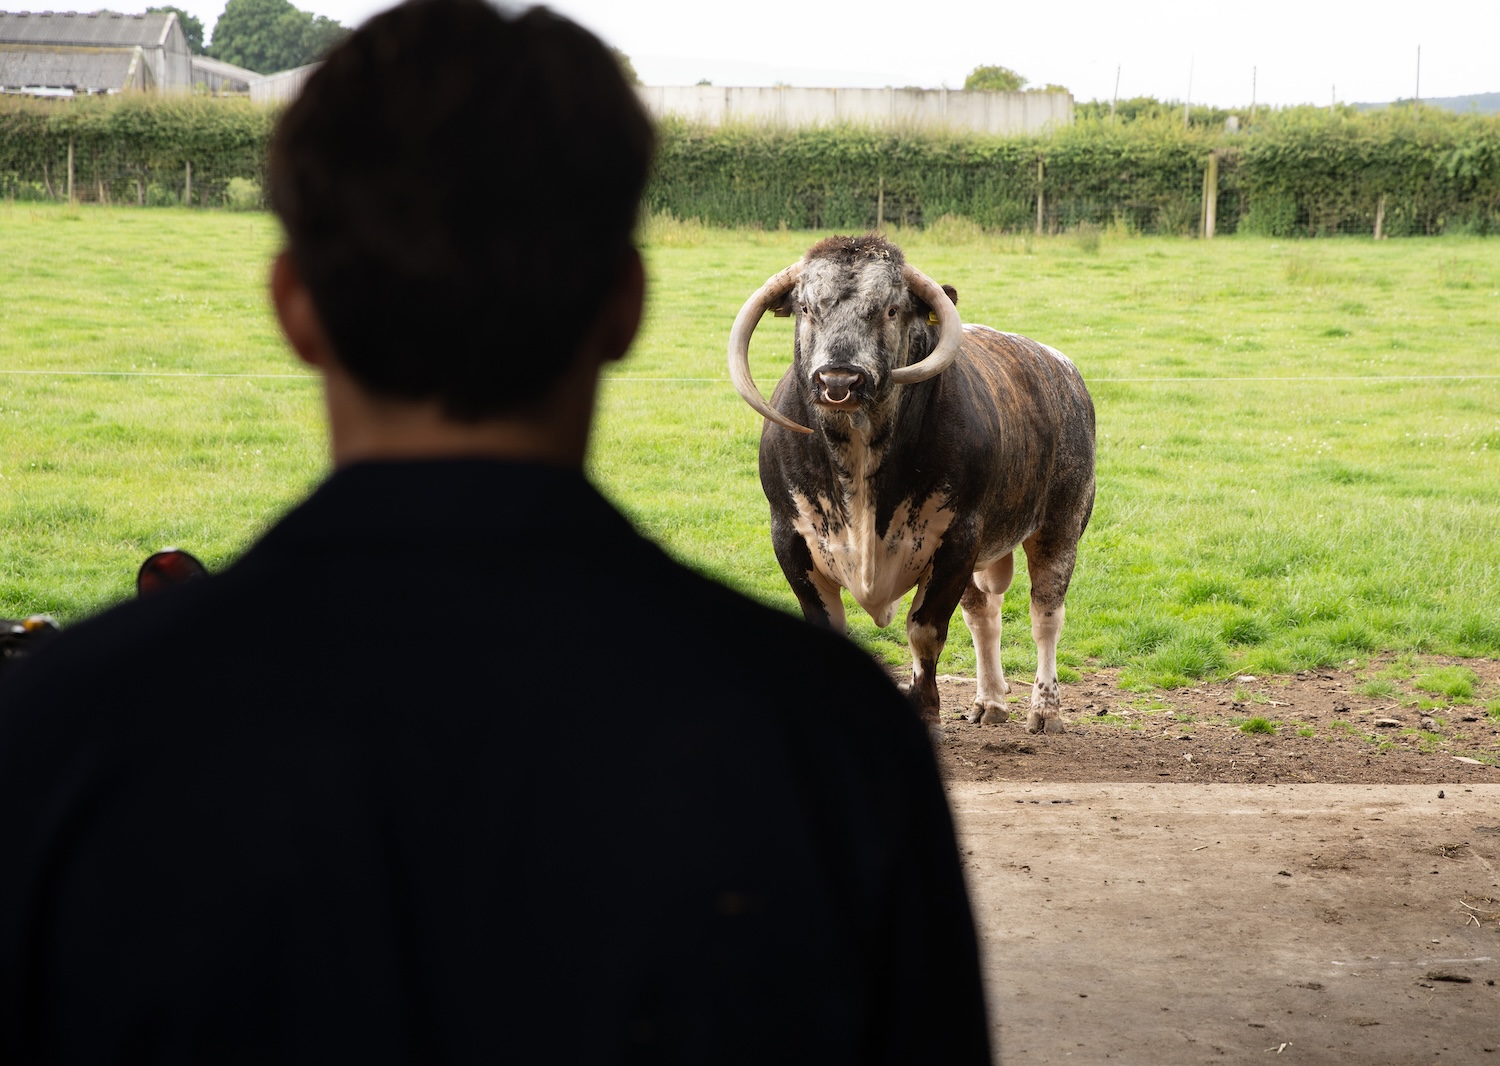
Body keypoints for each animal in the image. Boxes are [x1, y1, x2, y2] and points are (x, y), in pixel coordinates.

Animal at [728, 234, 1096, 734]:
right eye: (806, 307)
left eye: (890, 309)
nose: (838, 378)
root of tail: (1065, 371)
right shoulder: (789, 536)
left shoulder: (958, 539)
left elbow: (924, 631)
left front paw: (925, 708)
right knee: (984, 617)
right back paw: (991, 702)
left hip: (1060, 526)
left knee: (1046, 617)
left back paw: (1045, 709)